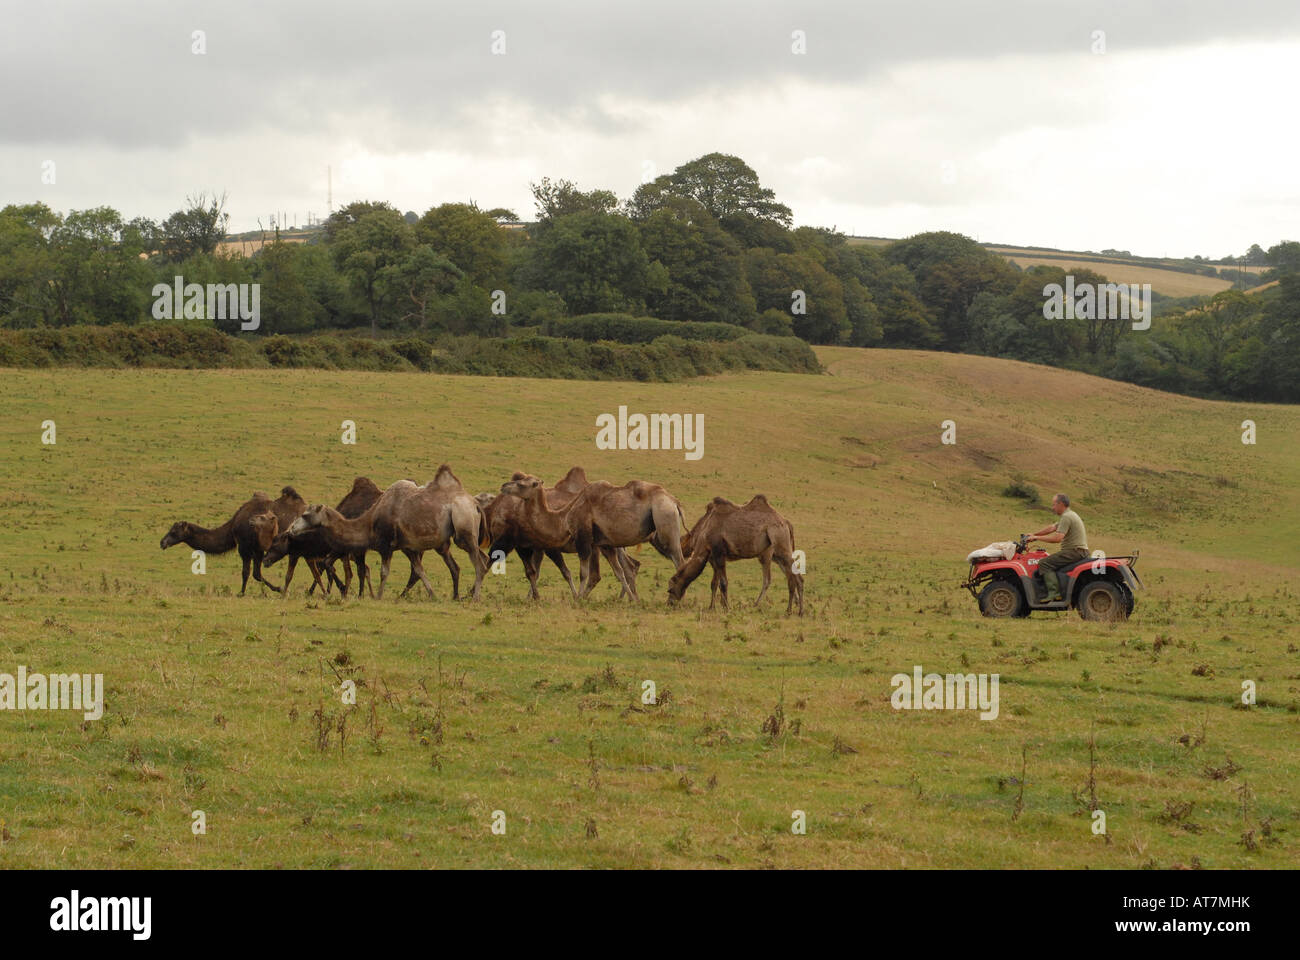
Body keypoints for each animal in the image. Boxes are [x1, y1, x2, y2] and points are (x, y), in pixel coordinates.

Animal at [160, 486, 307, 595]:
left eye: (173, 532)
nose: (162, 542)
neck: (232, 527)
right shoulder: (255, 548)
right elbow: (255, 573)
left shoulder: (246, 547)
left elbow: (249, 573)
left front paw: (243, 593)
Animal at [667, 495, 803, 615]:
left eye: (670, 589)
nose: (669, 603)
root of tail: (786, 523)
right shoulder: (714, 556)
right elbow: (715, 583)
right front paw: (714, 607)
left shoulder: (718, 552)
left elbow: (722, 583)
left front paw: (726, 608)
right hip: (778, 551)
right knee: (791, 576)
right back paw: (795, 609)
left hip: (778, 542)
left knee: (791, 578)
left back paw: (792, 611)